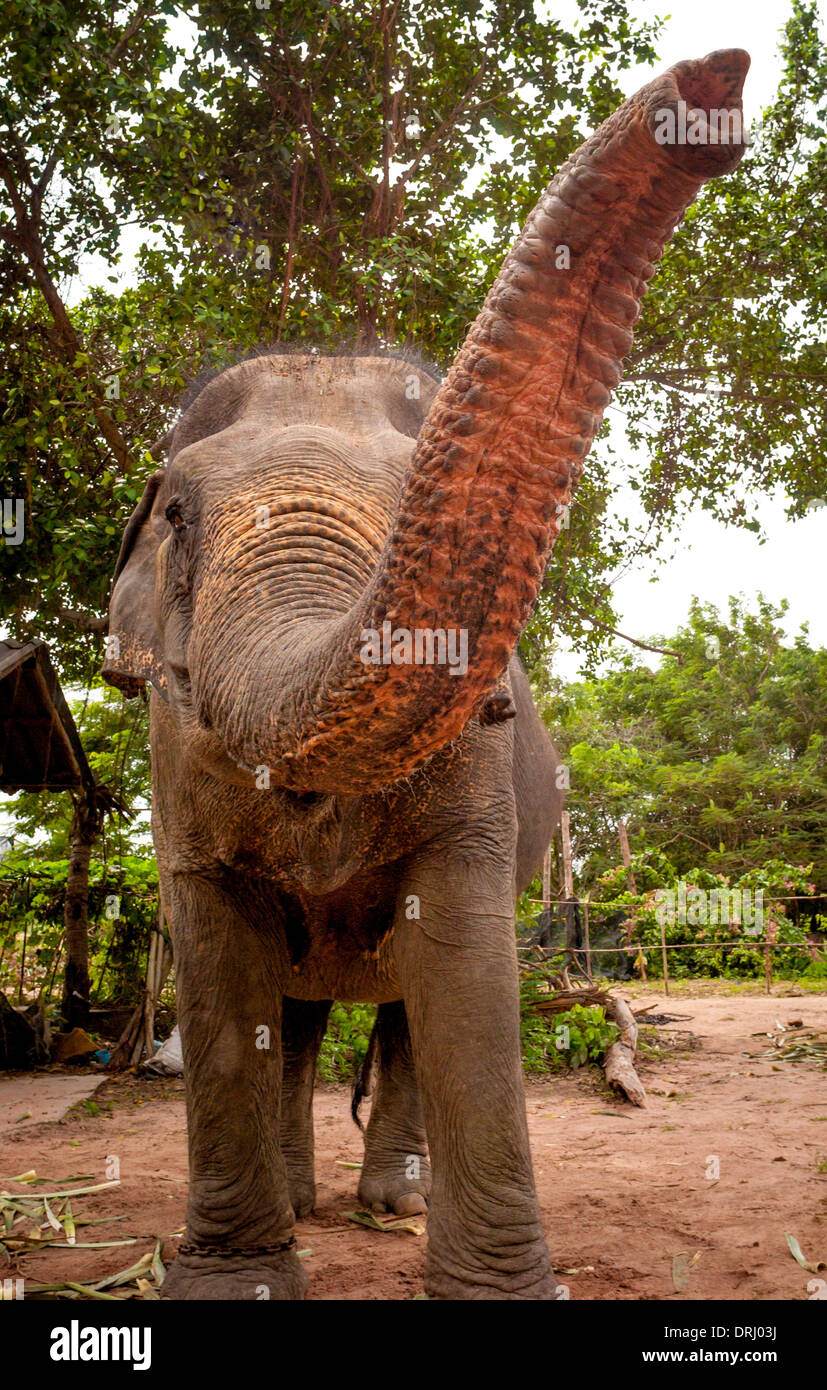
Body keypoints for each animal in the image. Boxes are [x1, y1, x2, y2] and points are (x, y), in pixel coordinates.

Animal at [102, 49, 748, 1299]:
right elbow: (214, 956)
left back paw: (387, 1200)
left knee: (389, 1007)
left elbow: (455, 953)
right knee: (297, 1013)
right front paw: (231, 1283)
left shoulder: (482, 776)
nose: (720, 88)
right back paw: (309, 1200)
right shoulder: (173, 747)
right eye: (177, 515)